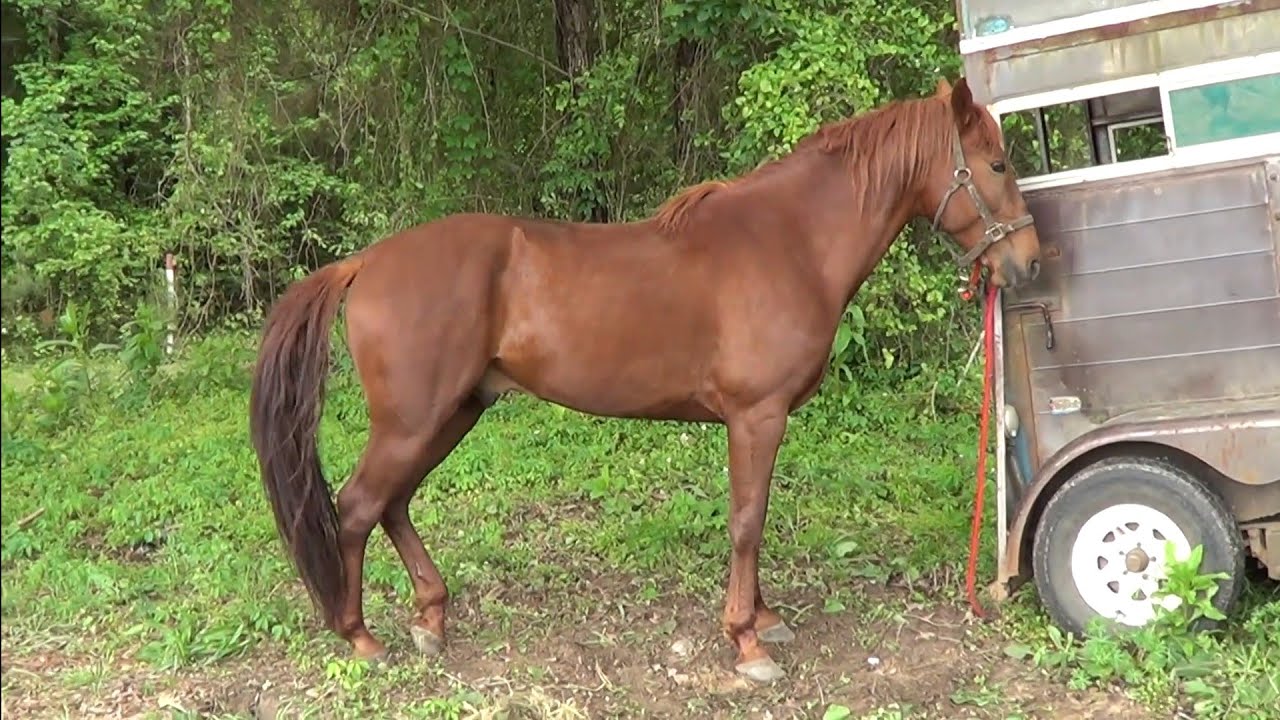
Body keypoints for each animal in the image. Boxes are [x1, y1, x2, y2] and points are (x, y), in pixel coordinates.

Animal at [249, 76, 1042, 683]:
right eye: (998, 164)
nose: (1030, 261)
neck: (790, 241)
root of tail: (365, 263)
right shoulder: (757, 415)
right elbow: (748, 521)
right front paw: (746, 641)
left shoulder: (760, 421)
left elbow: (754, 517)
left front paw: (765, 618)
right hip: (414, 420)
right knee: (358, 506)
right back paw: (361, 636)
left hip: (454, 413)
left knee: (393, 504)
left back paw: (430, 619)